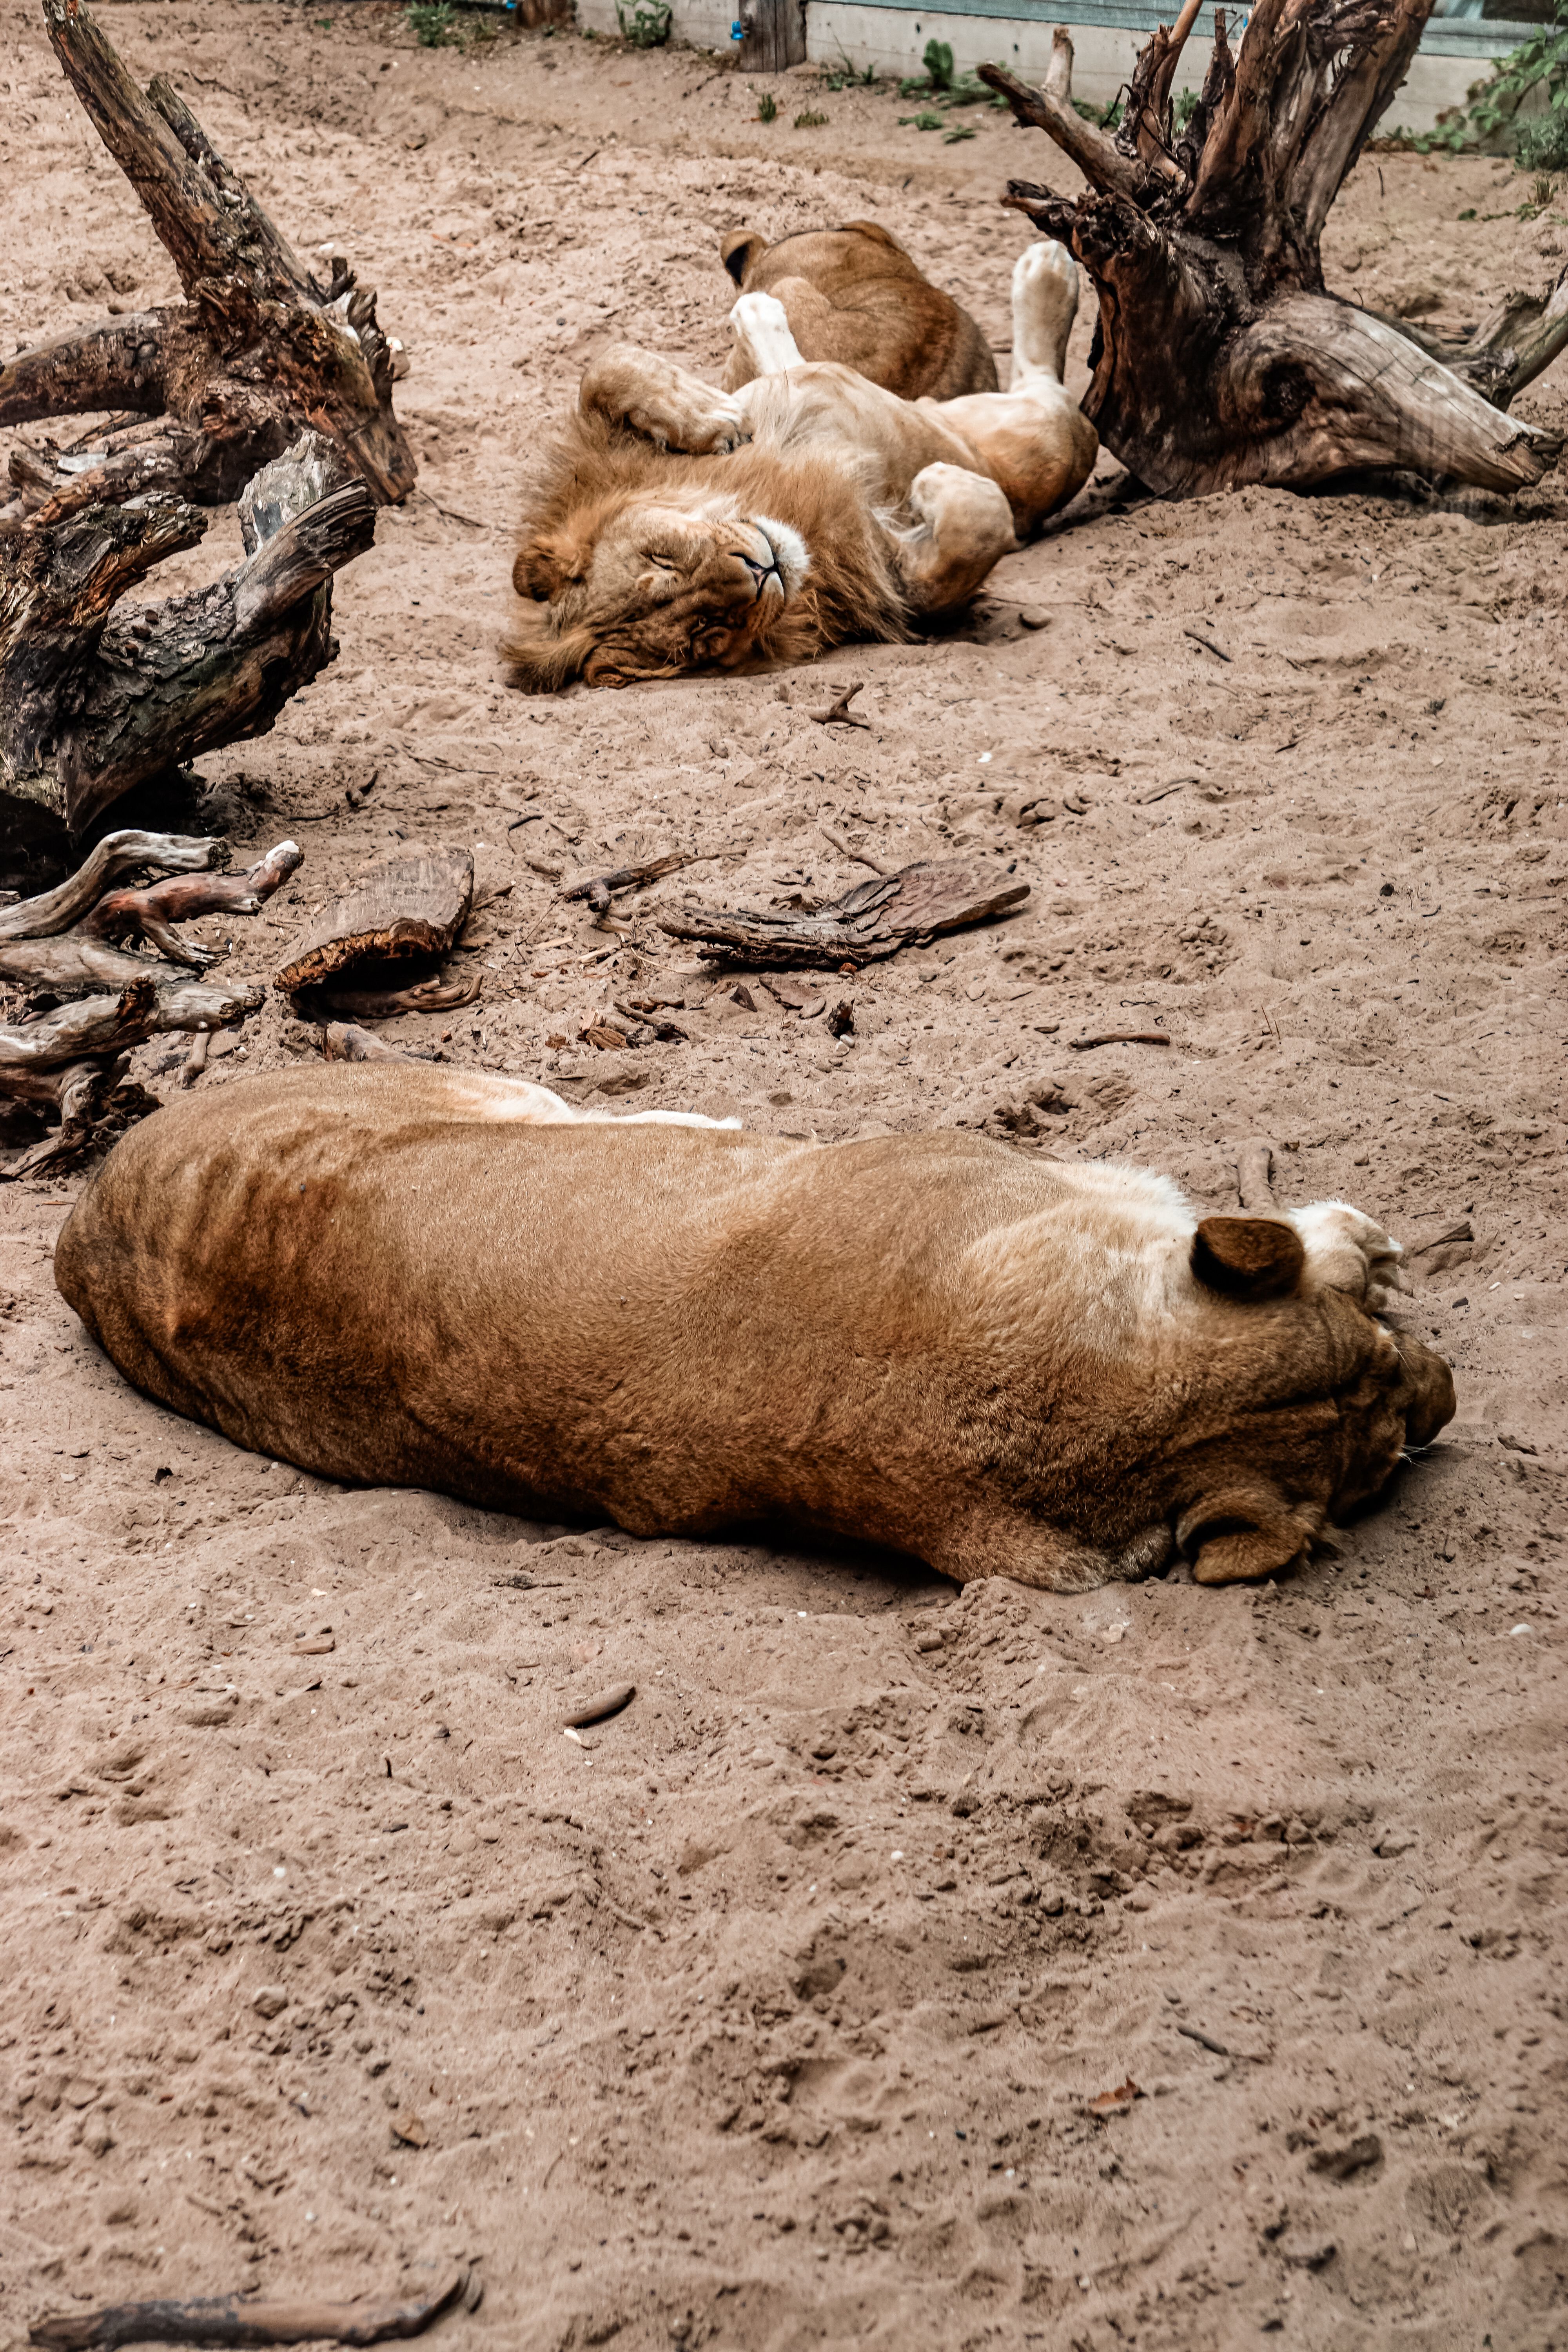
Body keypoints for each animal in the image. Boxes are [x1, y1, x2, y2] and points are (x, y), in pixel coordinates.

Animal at [55, 1065, 1454, 1594]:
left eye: (1387, 1436)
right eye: (1377, 1362)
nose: (1441, 1403)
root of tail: (76, 1230)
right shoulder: (1024, 1169)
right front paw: (1359, 1237)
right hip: (489, 1082)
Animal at [504, 238, 1099, 692]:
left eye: (665, 559)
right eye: (707, 631)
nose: (760, 570)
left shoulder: (608, 445)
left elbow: (605, 366)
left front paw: (712, 417)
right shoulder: (894, 581)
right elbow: (971, 536)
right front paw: (934, 484)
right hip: (1031, 431)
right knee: (1047, 391)